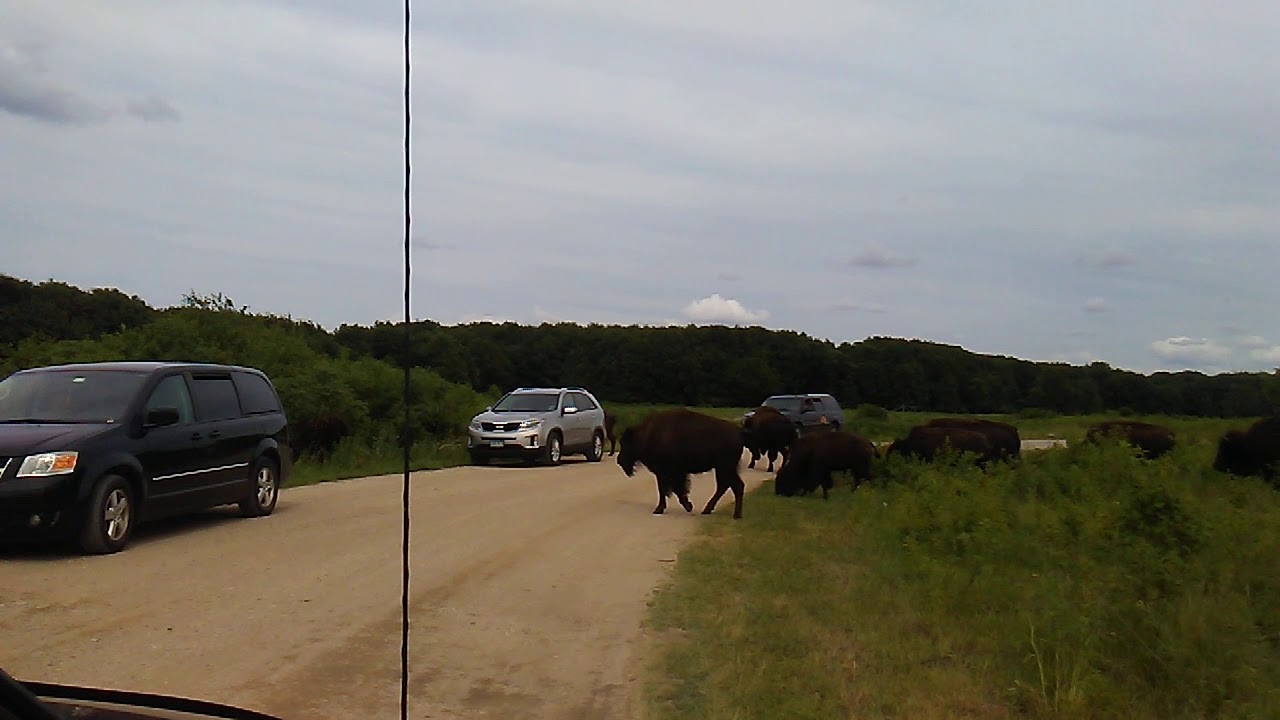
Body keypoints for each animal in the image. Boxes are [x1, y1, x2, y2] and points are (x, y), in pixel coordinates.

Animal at [616, 408, 747, 519]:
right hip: (722, 469)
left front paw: (660, 509)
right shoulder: (675, 473)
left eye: (625, 443)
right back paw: (708, 510)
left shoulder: (665, 472)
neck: (647, 434)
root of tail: (739, 432)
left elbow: (666, 489)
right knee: (725, 486)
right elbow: (675, 489)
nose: (619, 460)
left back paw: (735, 515)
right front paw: (687, 505)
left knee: (735, 486)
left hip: (726, 468)